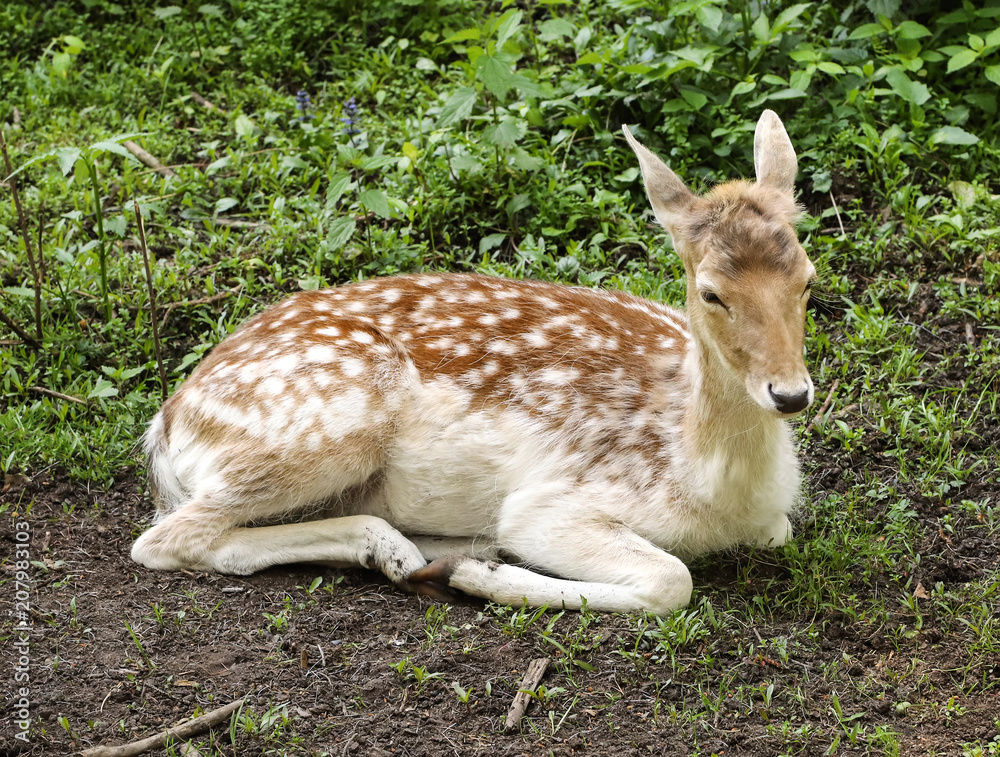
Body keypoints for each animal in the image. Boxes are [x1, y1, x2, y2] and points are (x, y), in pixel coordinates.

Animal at [131, 110, 816, 616]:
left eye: (808, 278)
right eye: (711, 292)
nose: (790, 393)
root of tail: (167, 426)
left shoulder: (772, 520)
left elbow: (776, 532)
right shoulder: (552, 501)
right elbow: (672, 580)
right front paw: (482, 576)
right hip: (322, 426)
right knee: (168, 539)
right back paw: (422, 556)